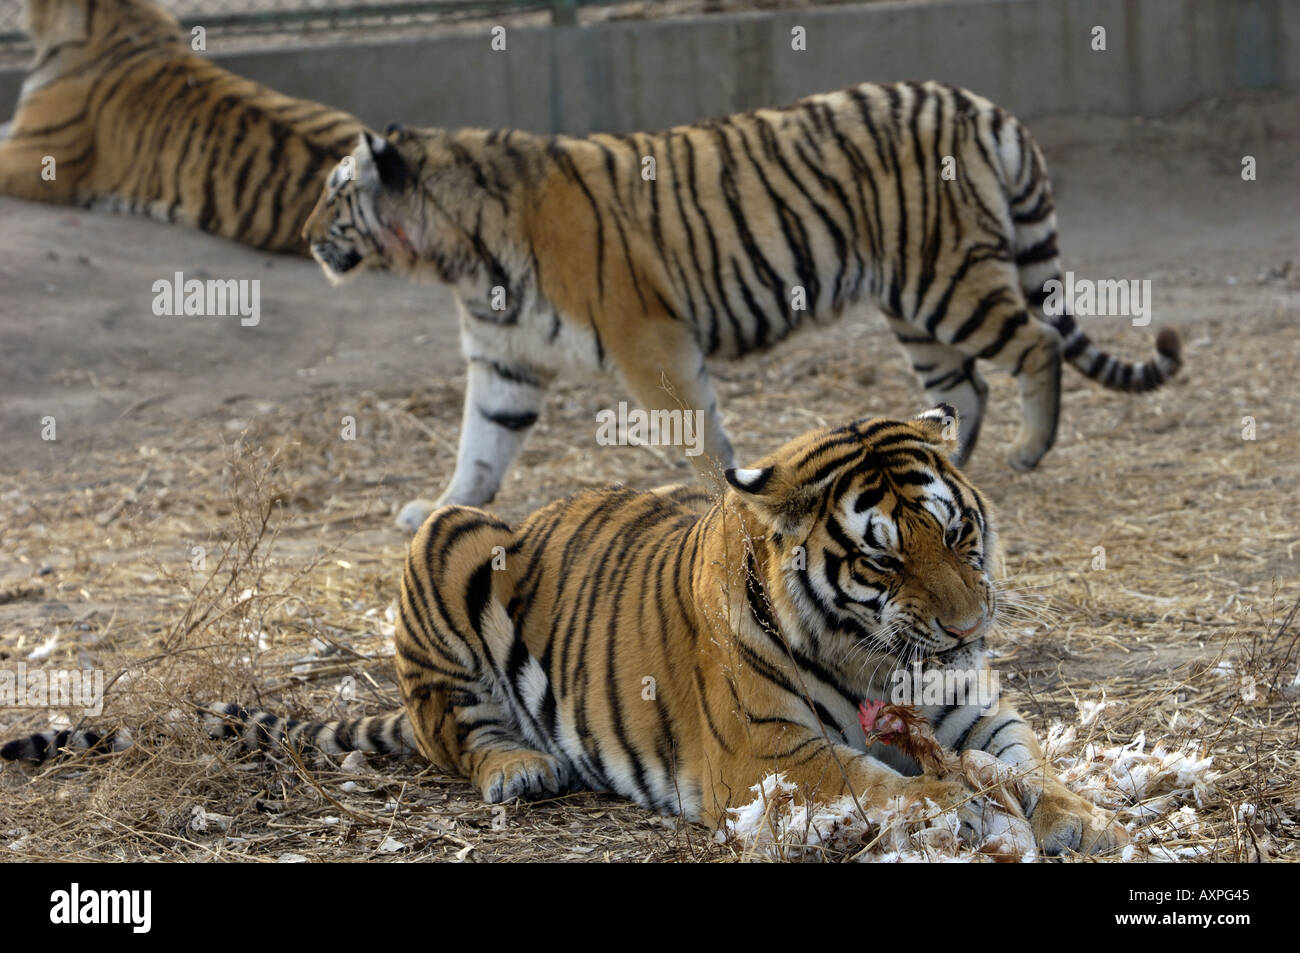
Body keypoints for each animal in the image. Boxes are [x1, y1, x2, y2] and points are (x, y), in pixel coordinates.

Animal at [3, 407, 1128, 855]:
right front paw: (957, 809)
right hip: (450, 538)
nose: (971, 623)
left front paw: (1081, 814)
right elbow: (879, 779)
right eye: (884, 558)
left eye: (958, 533)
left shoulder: (969, 706)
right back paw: (518, 766)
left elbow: (1028, 758)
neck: (876, 657)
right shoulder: (767, 752)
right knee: (452, 728)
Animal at [302, 80, 1182, 533]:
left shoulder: (647, 338)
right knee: (962, 388)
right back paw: (945, 466)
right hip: (913, 304)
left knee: (1036, 344)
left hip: (947, 280)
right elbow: (479, 448)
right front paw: (441, 509)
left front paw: (716, 503)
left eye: (336, 196)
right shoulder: (504, 361)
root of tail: (974, 102)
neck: (456, 255)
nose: (307, 240)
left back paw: (1029, 451)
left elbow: (696, 435)